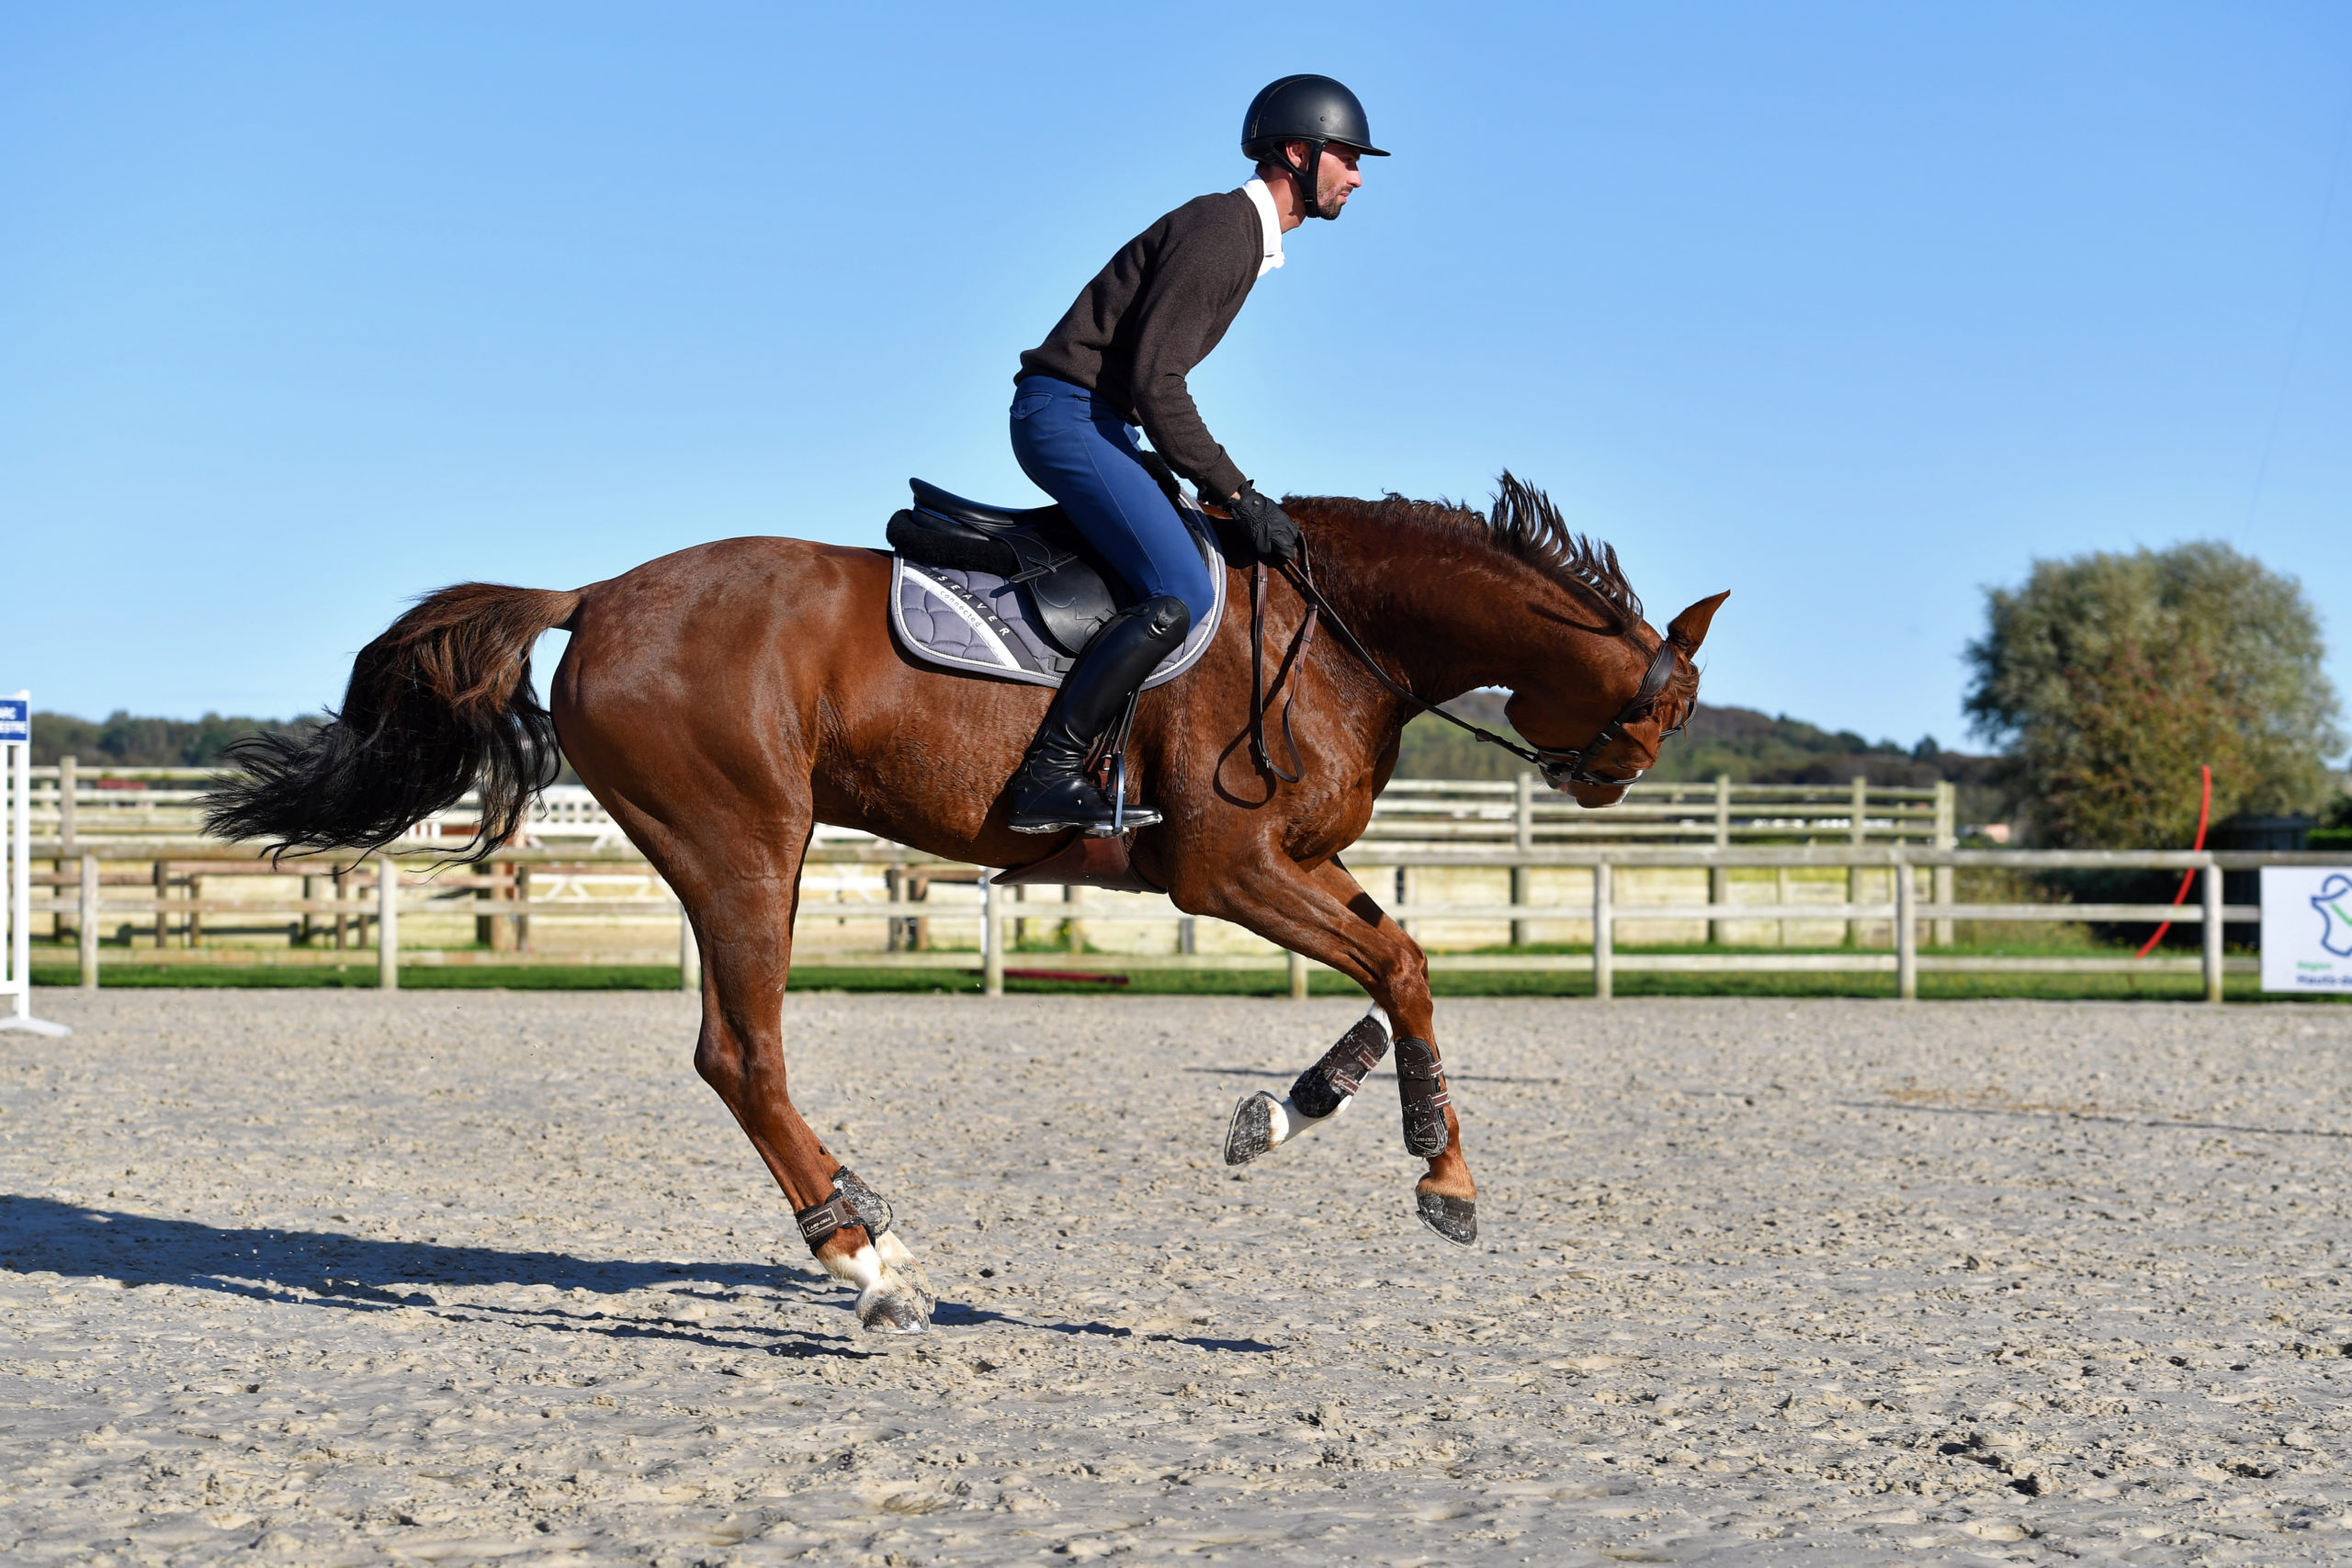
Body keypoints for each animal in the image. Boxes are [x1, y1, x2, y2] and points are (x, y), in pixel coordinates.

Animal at [205, 475, 1724, 1335]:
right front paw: (1441, 1178)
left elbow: (1390, 964)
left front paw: (1285, 1110)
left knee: (736, 1051)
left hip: (737, 844)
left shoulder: (1287, 861)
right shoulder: (1228, 866)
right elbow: (1403, 964)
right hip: (746, 841)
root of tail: (597, 595)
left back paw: (861, 1237)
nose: (1611, 783)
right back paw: (865, 1260)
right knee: (740, 1050)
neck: (1341, 628)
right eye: (1662, 710)